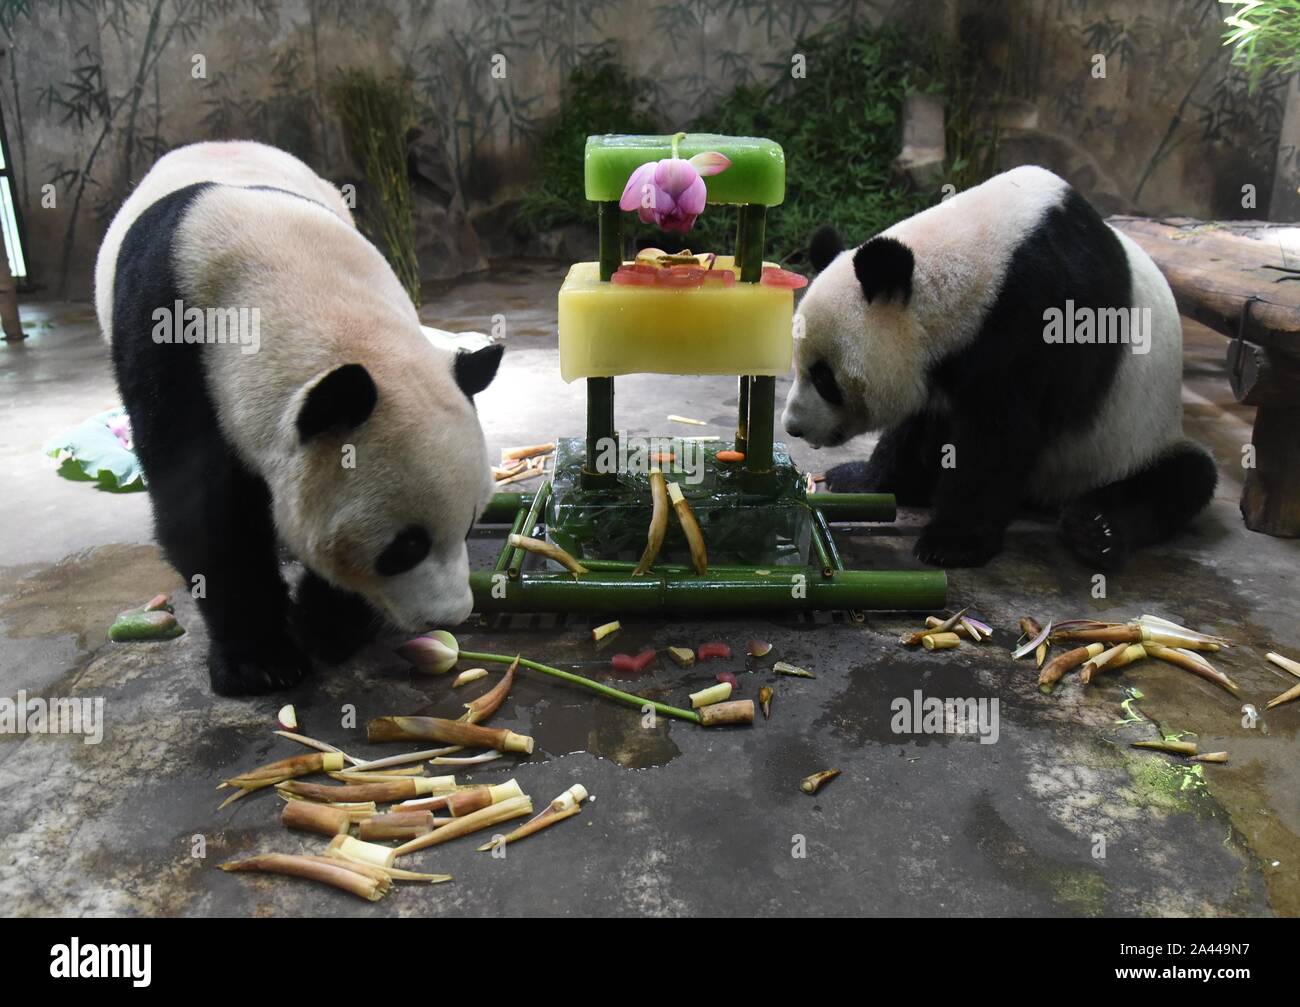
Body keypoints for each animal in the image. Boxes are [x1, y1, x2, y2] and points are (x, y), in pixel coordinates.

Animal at [95, 141, 503, 696]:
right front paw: (260, 662)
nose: (450, 616)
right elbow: (203, 515)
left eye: (470, 525)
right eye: (406, 547)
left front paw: (325, 626)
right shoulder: (170, 344)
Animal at [782, 165, 1216, 571]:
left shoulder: (1046, 321)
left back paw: (1095, 530)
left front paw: (951, 543)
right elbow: (922, 425)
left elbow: (998, 436)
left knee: (1182, 480)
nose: (793, 427)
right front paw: (865, 479)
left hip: (1132, 438)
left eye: (824, 377)